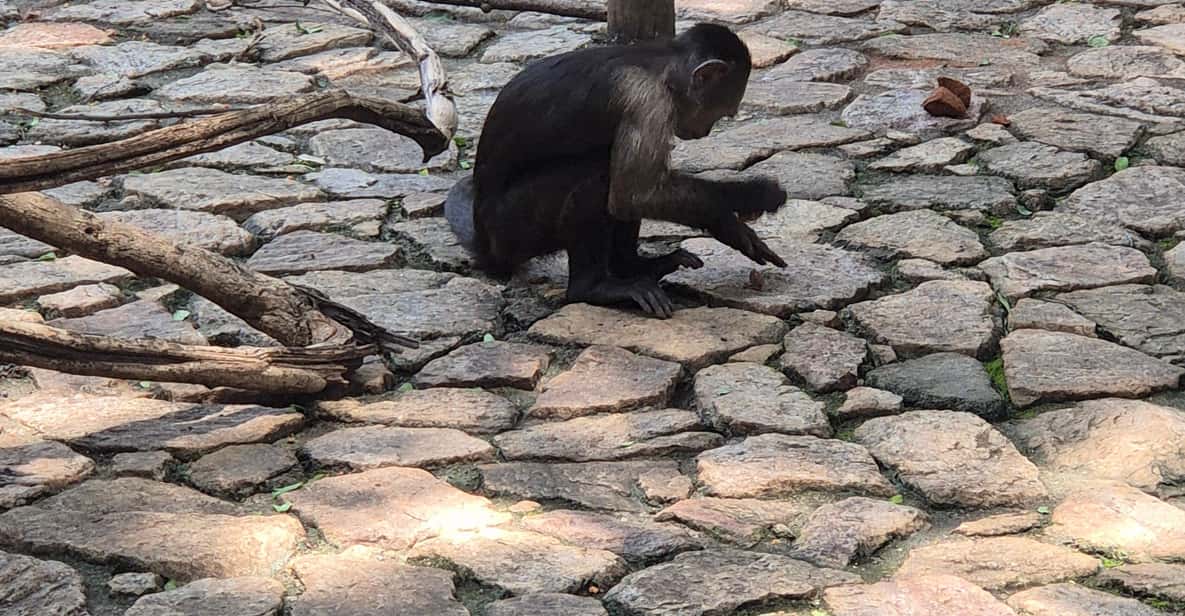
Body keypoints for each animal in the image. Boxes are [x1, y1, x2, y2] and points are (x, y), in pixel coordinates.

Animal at [445, 22, 788, 318]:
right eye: (722, 112)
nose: (706, 131)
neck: (660, 66)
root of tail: (485, 240)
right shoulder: (646, 101)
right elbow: (636, 194)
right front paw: (743, 207)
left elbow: (636, 195)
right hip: (513, 230)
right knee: (597, 172)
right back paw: (593, 288)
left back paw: (634, 267)